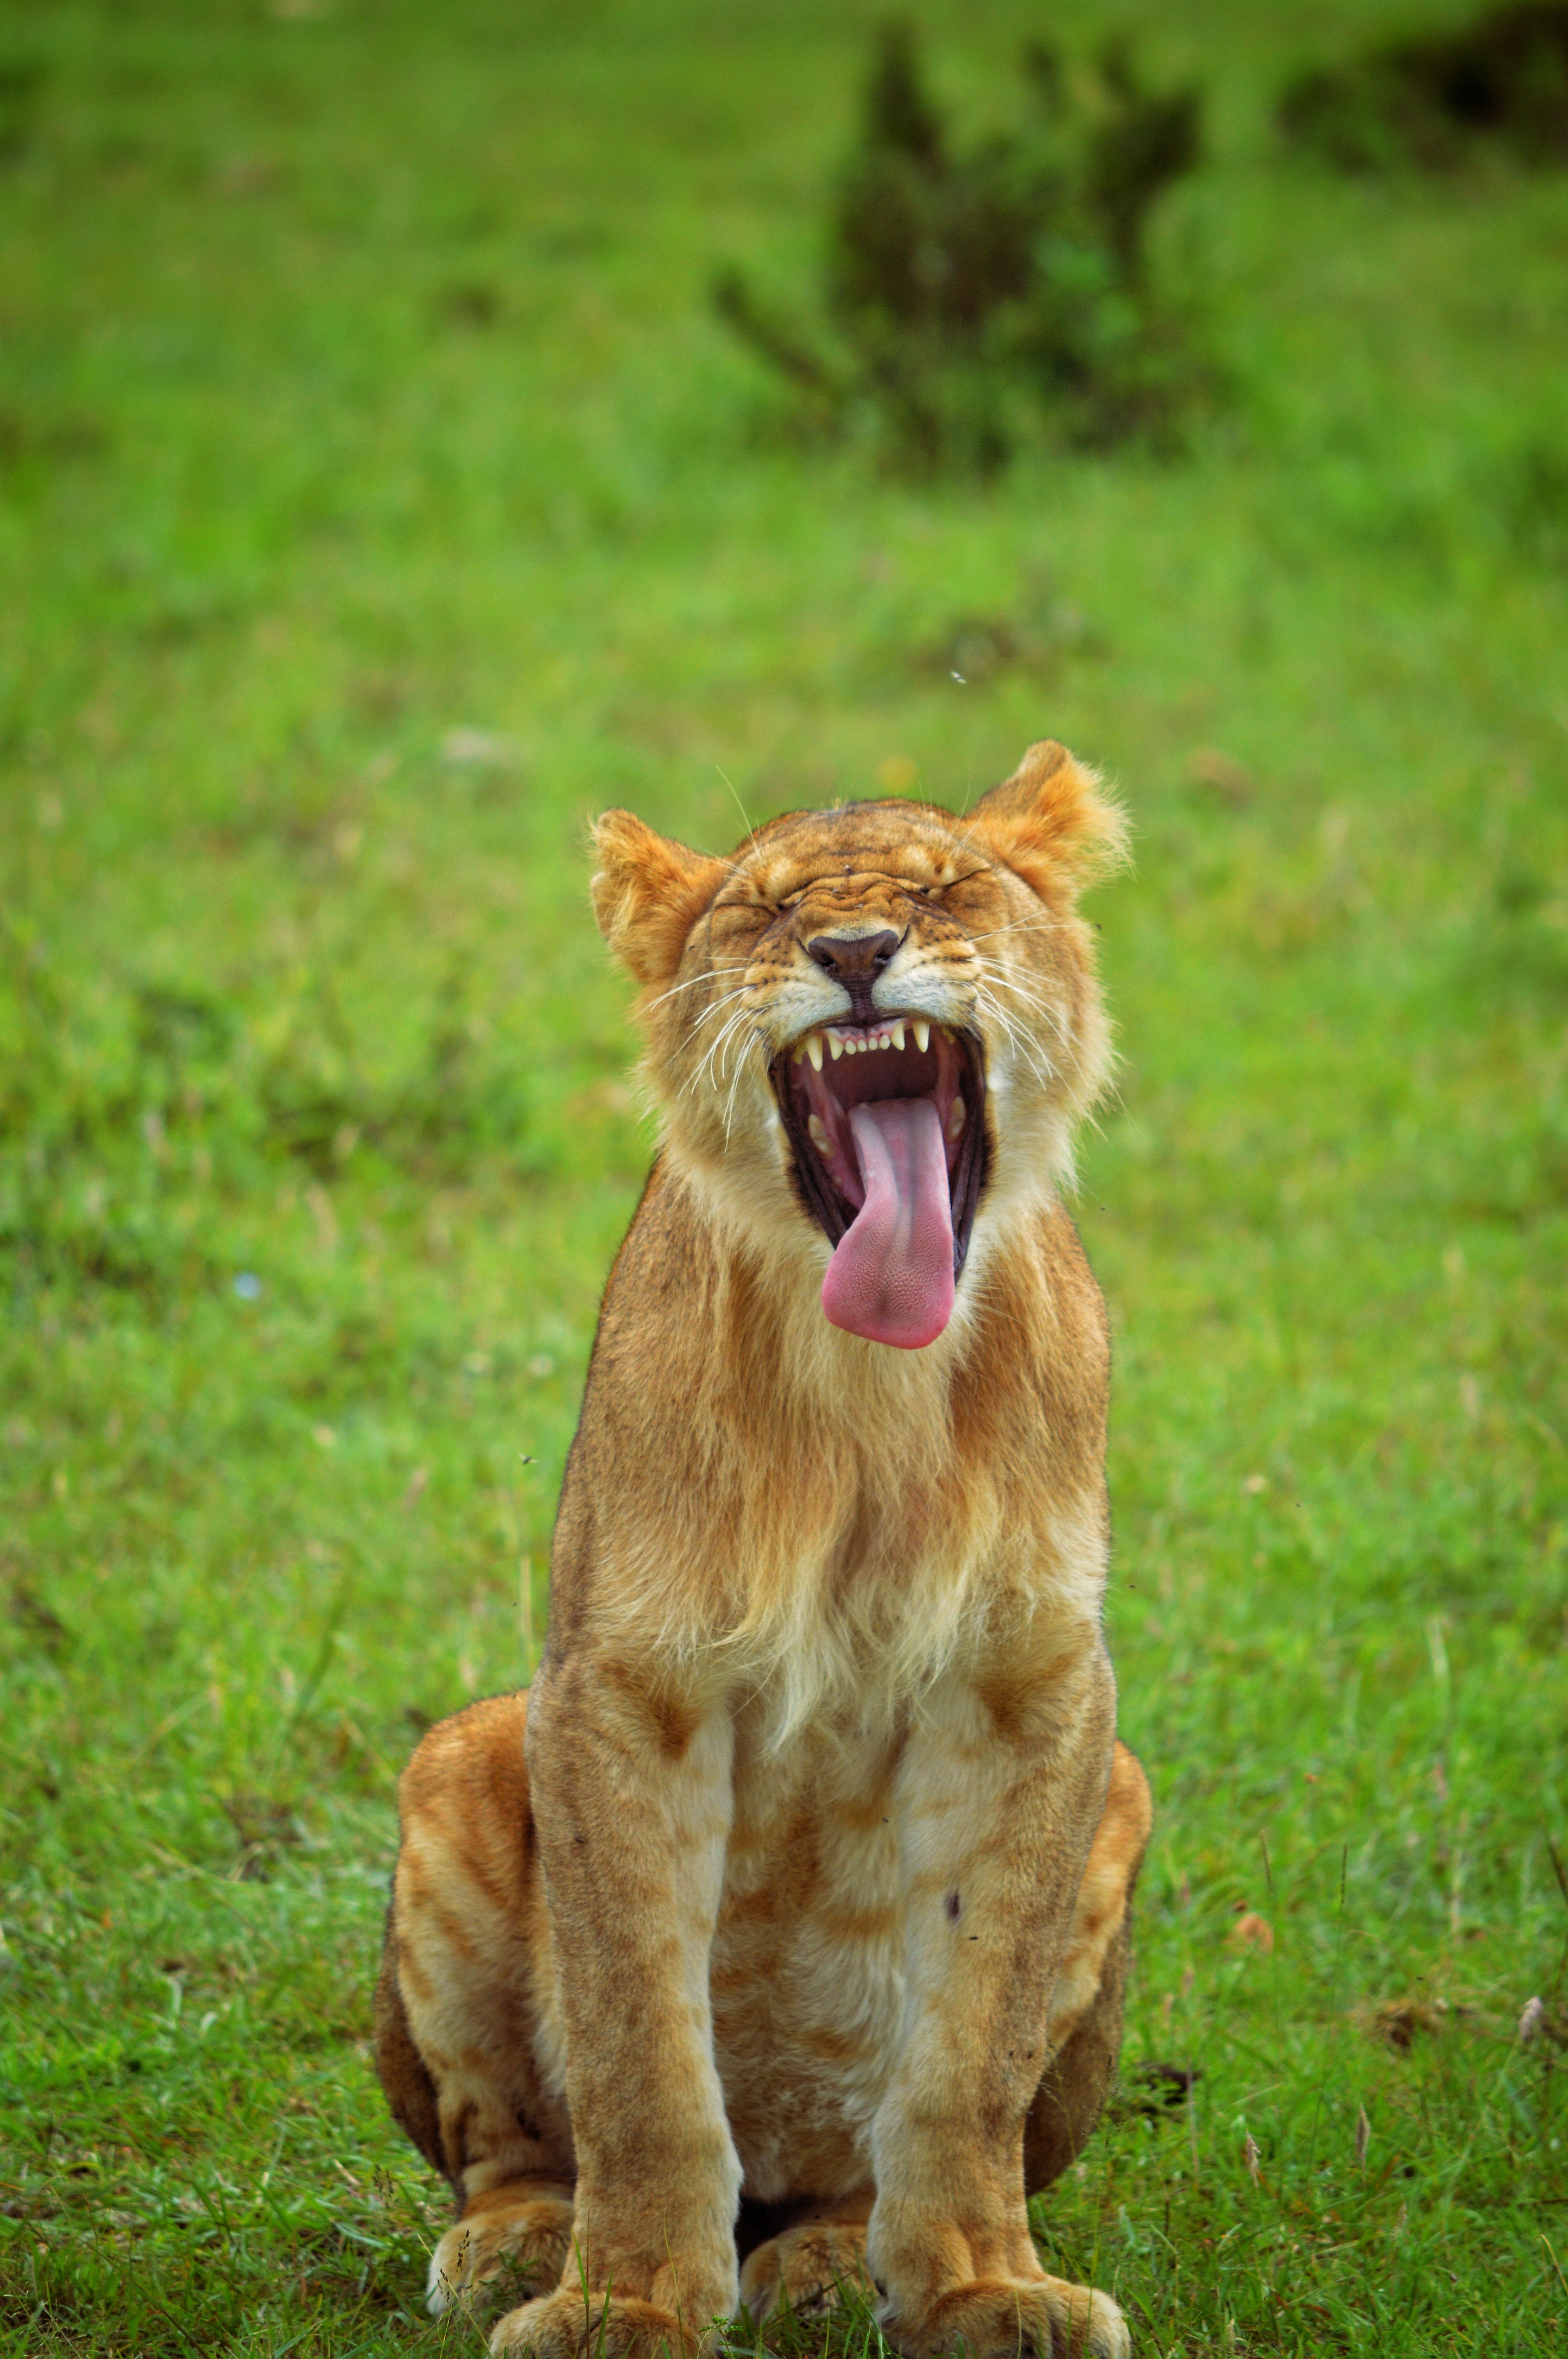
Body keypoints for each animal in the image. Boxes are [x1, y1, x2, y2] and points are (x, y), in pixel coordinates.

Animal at [373, 742, 1152, 2359]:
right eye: (767, 910)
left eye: (942, 887)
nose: (853, 953)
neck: (873, 1388)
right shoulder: (617, 1687)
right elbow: (638, 2049)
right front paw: (618, 2298)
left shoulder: (1033, 1692)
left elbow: (969, 2049)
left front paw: (978, 2283)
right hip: (462, 1753)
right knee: (504, 2137)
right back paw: (517, 2238)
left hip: (1121, 1785)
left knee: (838, 2163)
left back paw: (829, 2252)